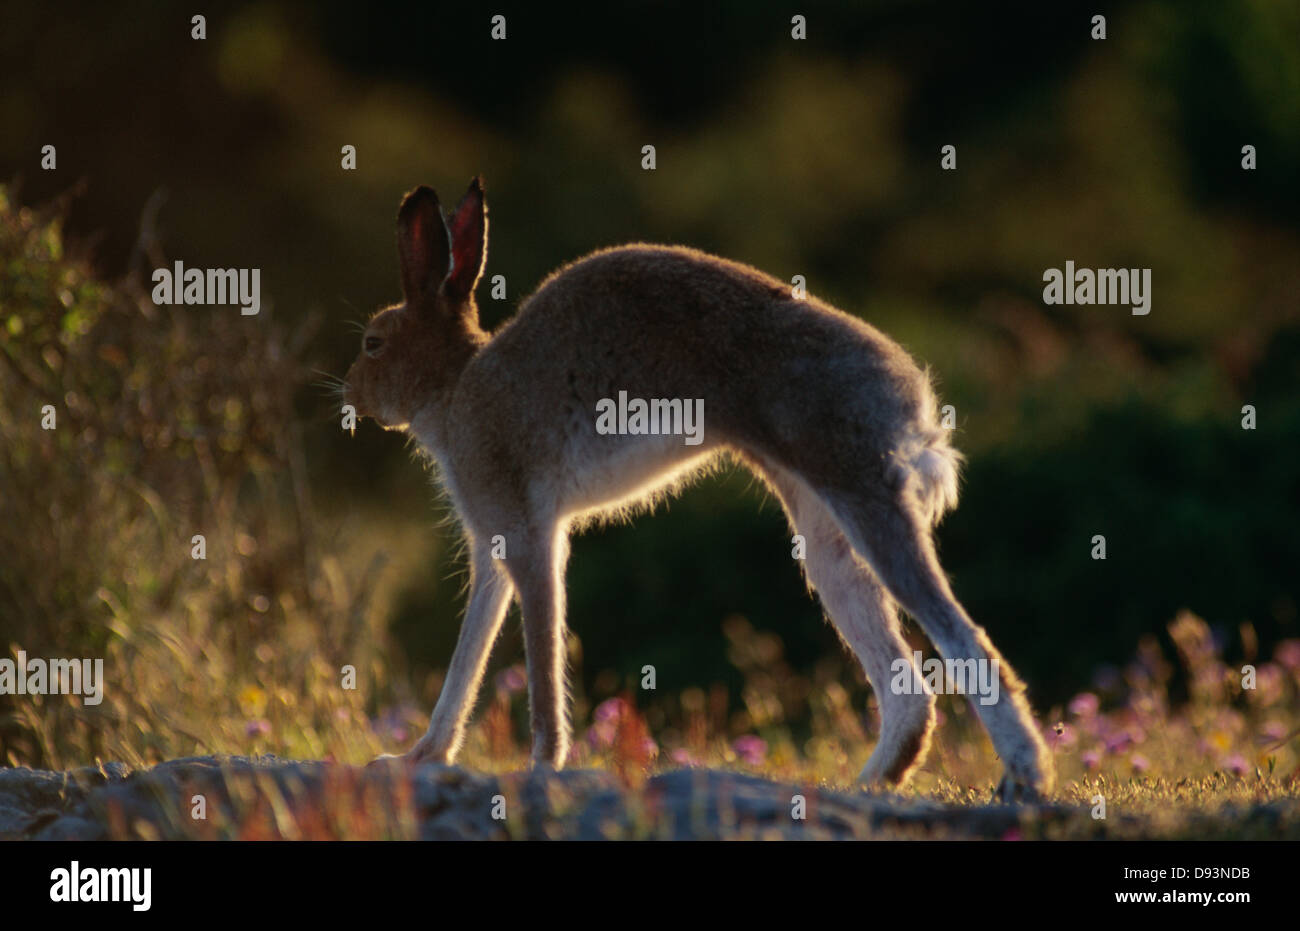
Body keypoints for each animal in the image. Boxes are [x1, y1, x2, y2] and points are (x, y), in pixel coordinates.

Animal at [344, 177, 1054, 801]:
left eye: (373, 342)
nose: (349, 395)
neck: (454, 386)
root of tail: (918, 404)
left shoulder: (526, 536)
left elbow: (540, 654)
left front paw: (542, 766)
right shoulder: (496, 545)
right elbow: (469, 652)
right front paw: (417, 758)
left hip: (862, 492)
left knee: (966, 640)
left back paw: (1023, 778)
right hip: (824, 537)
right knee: (906, 683)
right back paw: (872, 782)